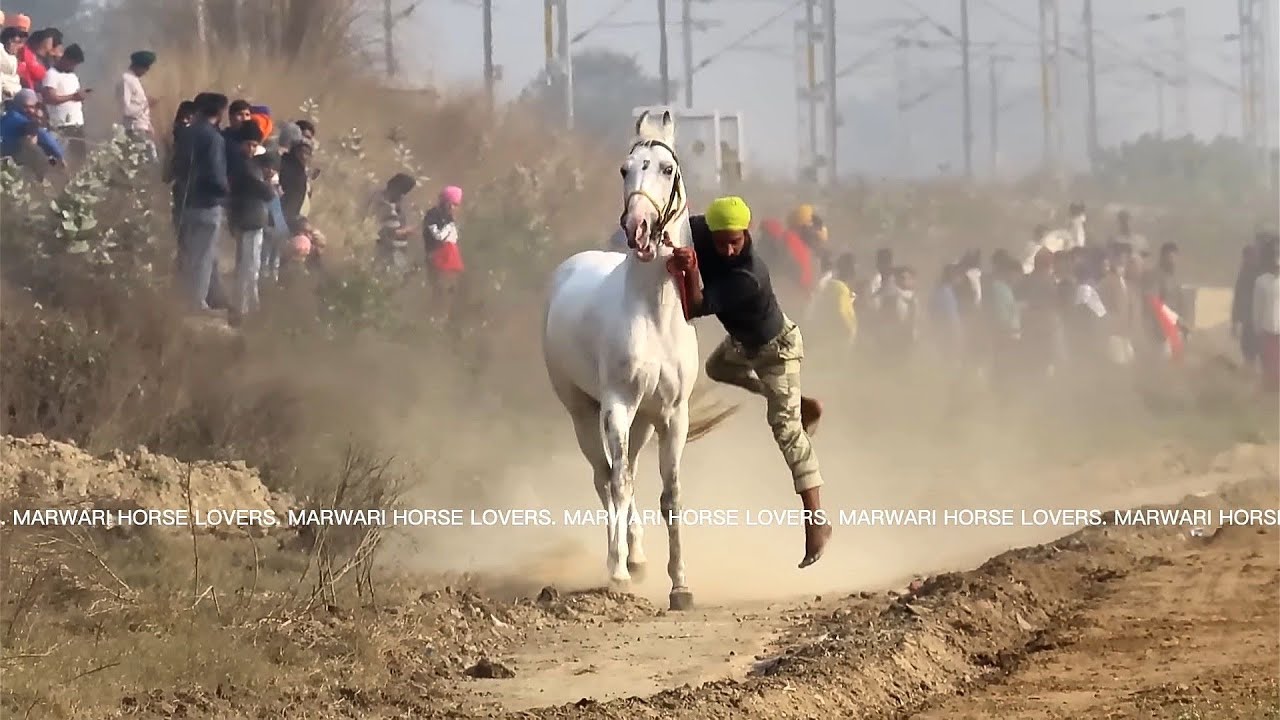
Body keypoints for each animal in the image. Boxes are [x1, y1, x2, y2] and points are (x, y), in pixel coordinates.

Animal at [541, 109, 735, 611]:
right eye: (625, 169)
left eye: (666, 169)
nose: (638, 228)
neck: (654, 313)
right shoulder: (616, 407)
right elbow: (619, 484)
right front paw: (618, 573)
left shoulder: (671, 415)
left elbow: (670, 493)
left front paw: (680, 586)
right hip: (584, 414)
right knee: (606, 478)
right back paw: (623, 561)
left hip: (644, 422)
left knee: (626, 473)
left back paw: (640, 556)